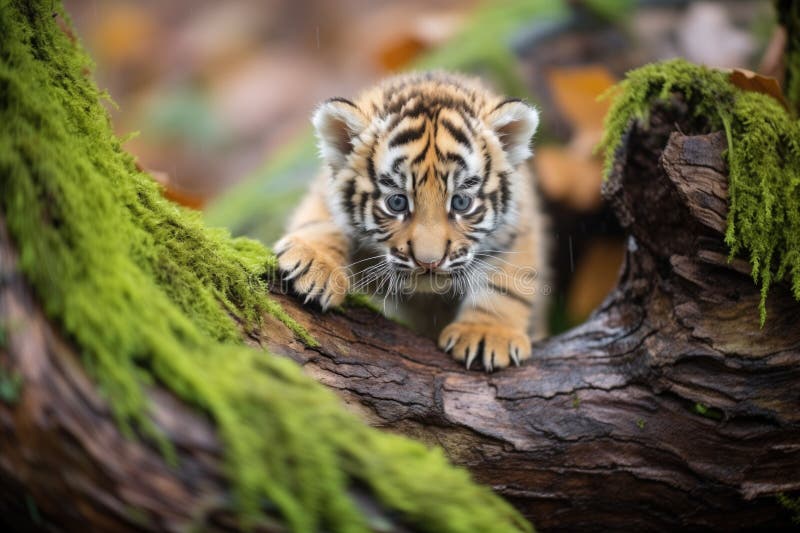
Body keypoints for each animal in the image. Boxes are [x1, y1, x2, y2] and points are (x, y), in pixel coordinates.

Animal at [274, 71, 550, 371]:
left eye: (461, 203)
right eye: (397, 202)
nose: (429, 262)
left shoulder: (518, 225)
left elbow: (505, 282)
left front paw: (486, 333)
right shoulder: (325, 192)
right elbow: (321, 223)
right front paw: (314, 262)